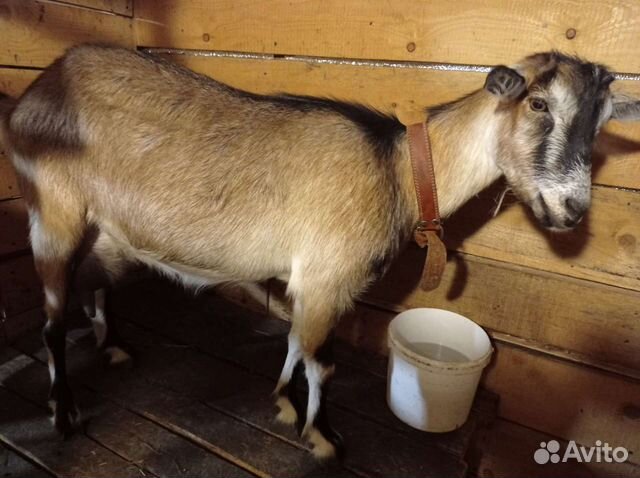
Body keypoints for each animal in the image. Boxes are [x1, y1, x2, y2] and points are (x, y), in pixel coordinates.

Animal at [1, 45, 639, 459]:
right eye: (538, 104)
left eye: (603, 121)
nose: (570, 211)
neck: (397, 172)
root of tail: (33, 94)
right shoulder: (328, 277)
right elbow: (322, 361)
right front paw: (322, 438)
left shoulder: (313, 284)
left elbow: (293, 343)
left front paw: (283, 403)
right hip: (53, 213)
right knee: (51, 321)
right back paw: (63, 412)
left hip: (104, 231)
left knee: (95, 284)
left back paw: (112, 347)